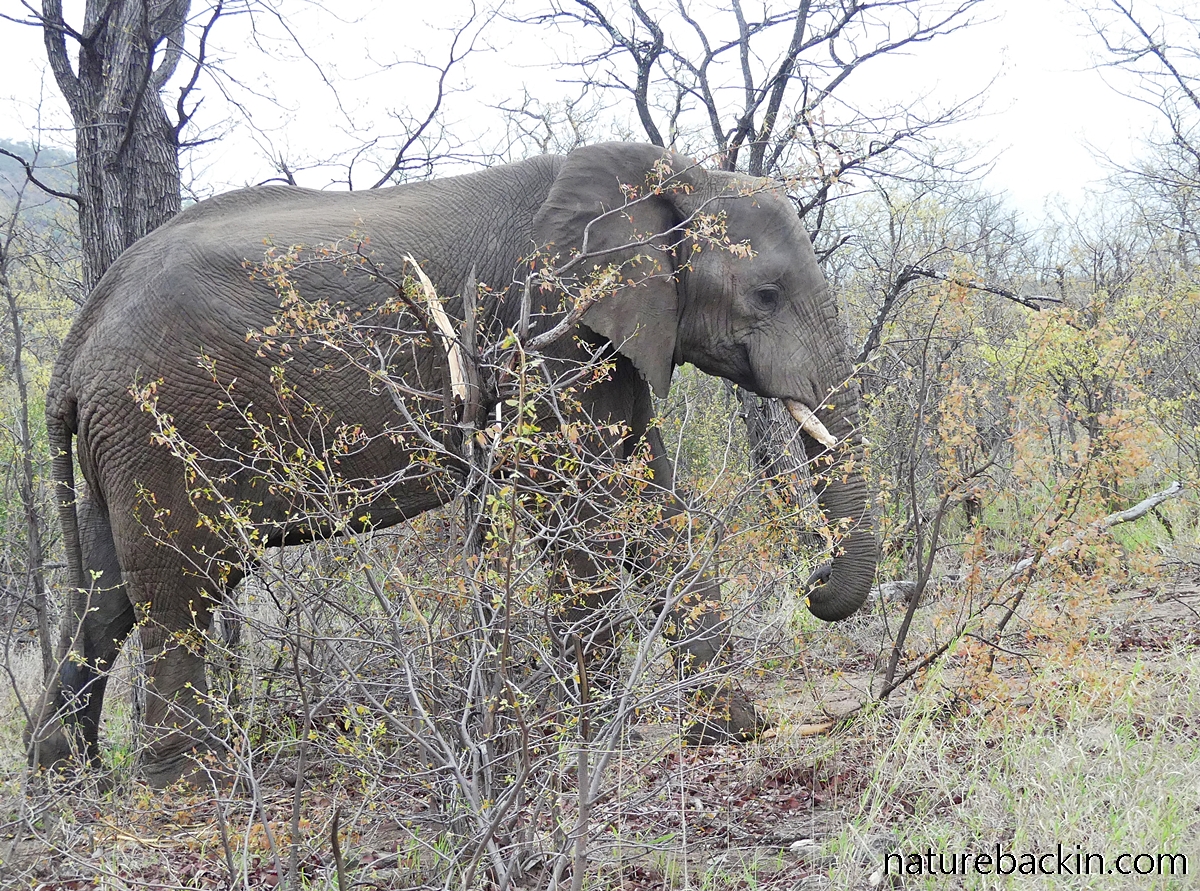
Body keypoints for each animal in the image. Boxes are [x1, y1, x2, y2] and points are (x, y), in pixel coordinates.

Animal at [29, 142, 877, 788]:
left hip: (121, 435)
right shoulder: (544, 322)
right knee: (180, 586)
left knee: (105, 594)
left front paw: (728, 731)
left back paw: (65, 780)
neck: (676, 170)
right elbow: (575, 506)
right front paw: (586, 736)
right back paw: (193, 787)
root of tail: (77, 338)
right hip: (157, 420)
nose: (813, 582)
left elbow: (655, 510)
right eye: (765, 295)